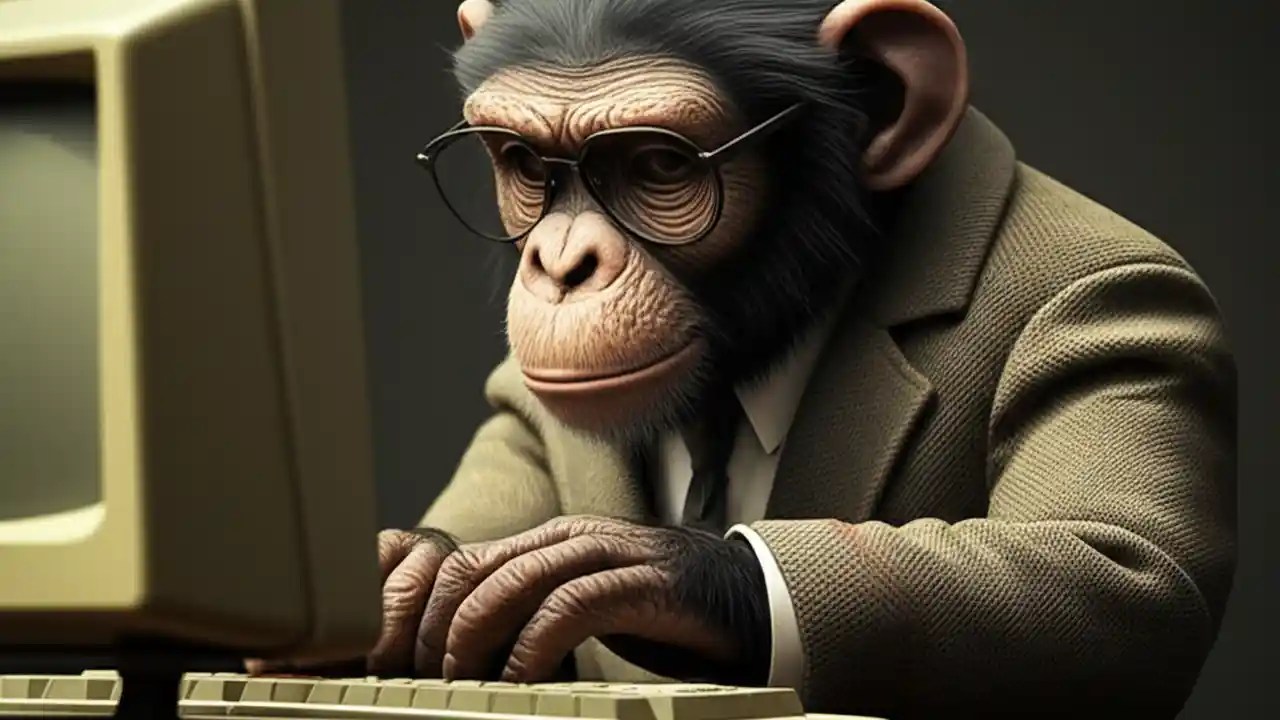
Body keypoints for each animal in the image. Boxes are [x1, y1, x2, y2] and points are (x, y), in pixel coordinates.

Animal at [253, 1, 1237, 718]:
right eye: (525, 163)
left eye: (658, 166)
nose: (560, 265)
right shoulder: (515, 413)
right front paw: (410, 566)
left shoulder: (1107, 308)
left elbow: (1123, 570)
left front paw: (637, 568)